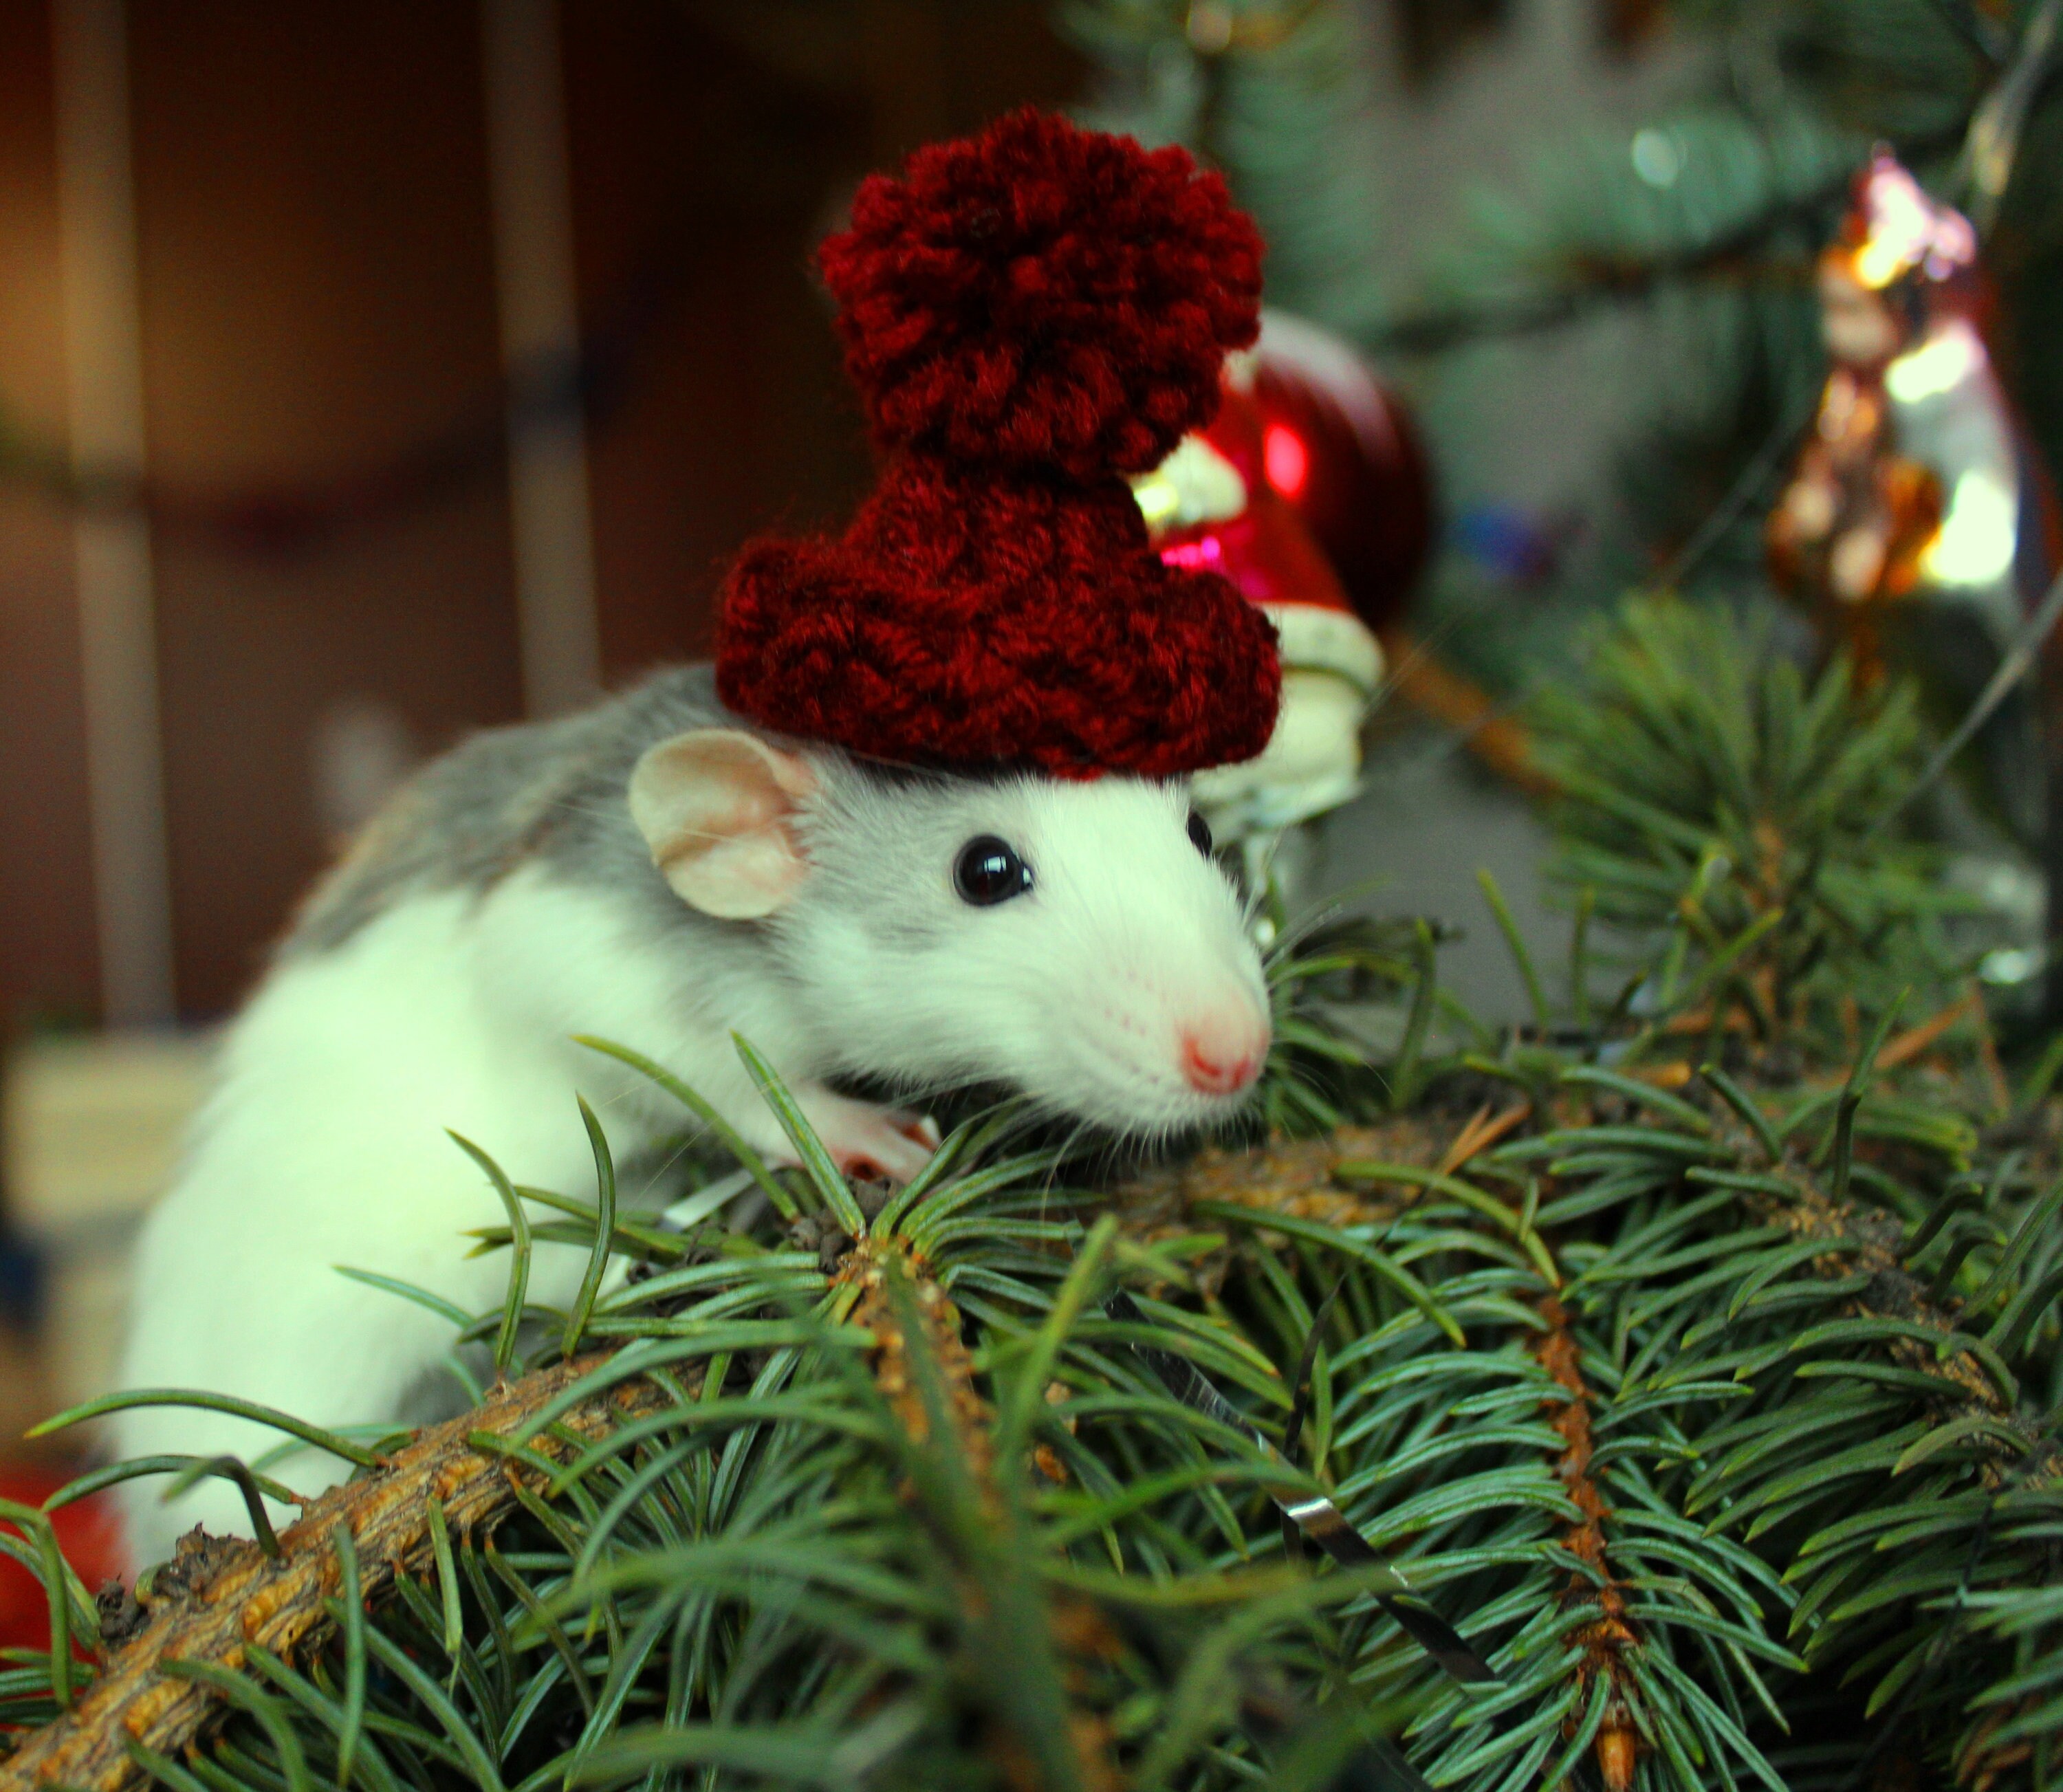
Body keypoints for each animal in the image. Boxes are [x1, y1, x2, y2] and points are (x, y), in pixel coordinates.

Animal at [112, 663, 1272, 1563]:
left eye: (1198, 829)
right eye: (986, 871)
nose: (1236, 1052)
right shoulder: (584, 931)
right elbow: (625, 1026)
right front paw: (848, 1124)